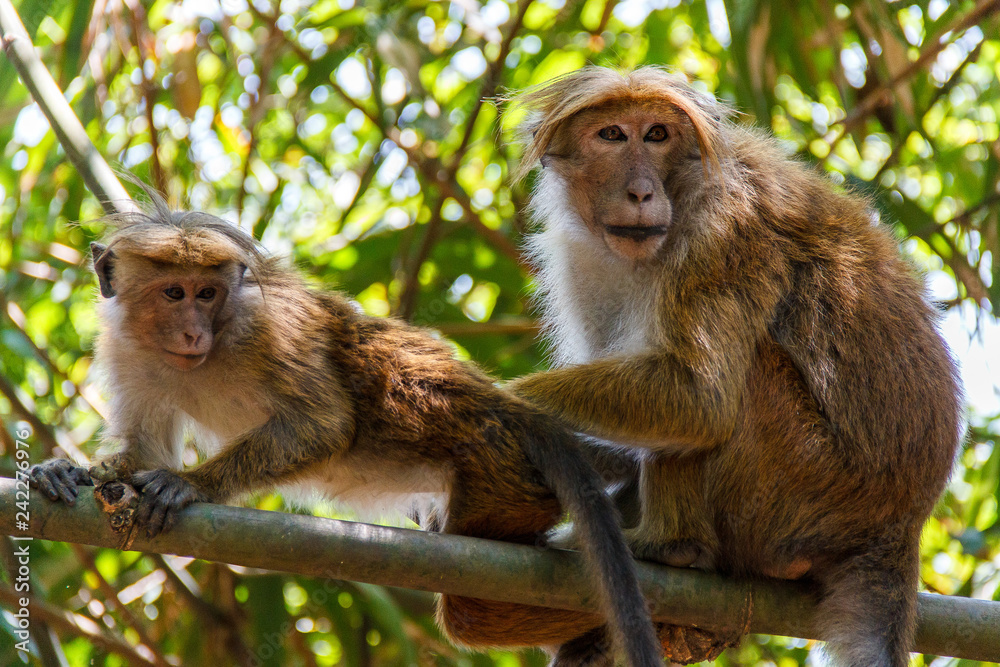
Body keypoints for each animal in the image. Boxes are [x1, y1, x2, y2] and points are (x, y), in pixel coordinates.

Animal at [25, 195, 663, 666]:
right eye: (173, 293)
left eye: (206, 293)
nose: (192, 331)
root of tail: (507, 411)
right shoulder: (128, 349)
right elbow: (144, 448)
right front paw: (71, 471)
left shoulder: (265, 329)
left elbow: (326, 423)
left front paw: (192, 485)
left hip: (495, 469)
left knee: (471, 602)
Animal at [496, 66, 964, 666]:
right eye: (611, 135)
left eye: (656, 135)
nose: (641, 191)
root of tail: (901, 526)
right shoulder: (581, 263)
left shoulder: (722, 231)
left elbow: (701, 399)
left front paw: (503, 398)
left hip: (810, 484)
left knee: (740, 382)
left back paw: (672, 546)